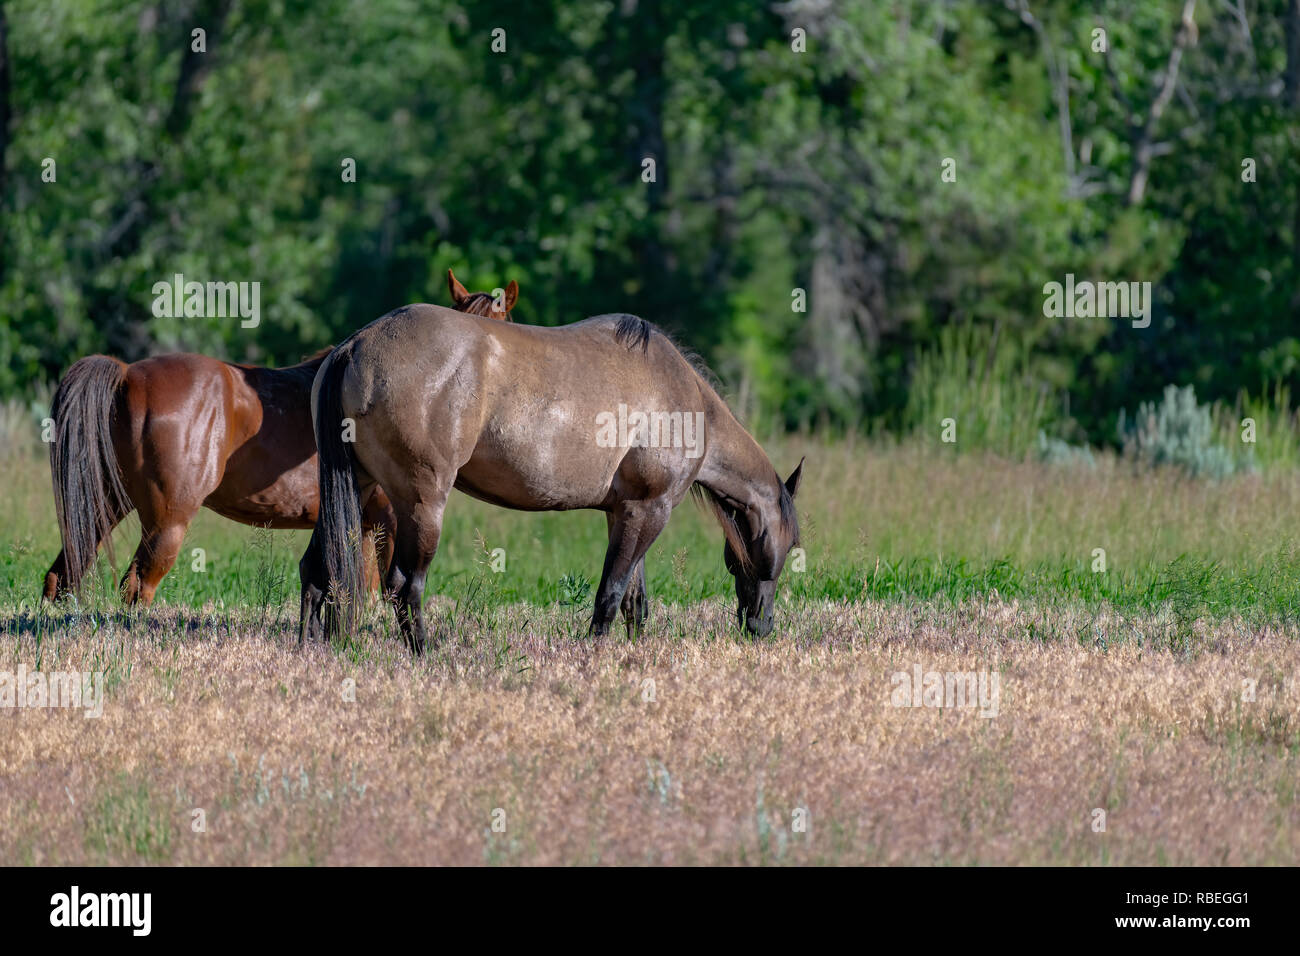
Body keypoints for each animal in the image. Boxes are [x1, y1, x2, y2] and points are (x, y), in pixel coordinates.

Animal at [43, 278, 519, 606]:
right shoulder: (389, 521)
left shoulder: (363, 526)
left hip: (107, 503)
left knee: (63, 574)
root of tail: (128, 374)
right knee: (137, 586)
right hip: (166, 521)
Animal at [298, 304, 803, 653]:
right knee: (406, 587)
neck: (683, 401)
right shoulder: (649, 511)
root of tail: (356, 345)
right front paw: (593, 653)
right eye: (790, 544)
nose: (761, 626)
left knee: (318, 571)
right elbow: (611, 594)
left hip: (359, 488)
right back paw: (426, 655)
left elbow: (635, 601)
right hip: (421, 505)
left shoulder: (626, 512)